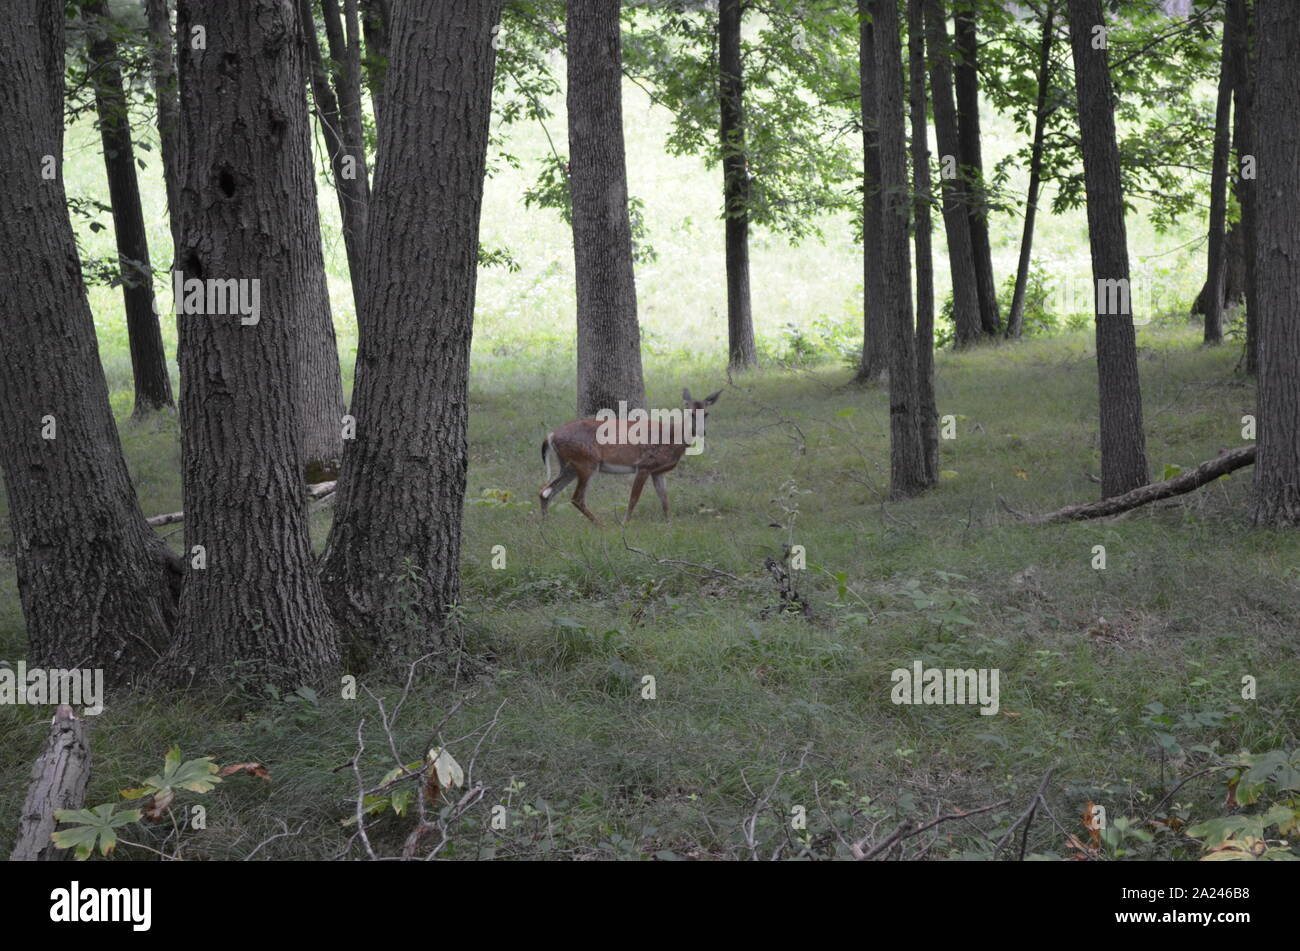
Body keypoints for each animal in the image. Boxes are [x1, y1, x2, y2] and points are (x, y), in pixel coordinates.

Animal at [539, 388, 722, 524]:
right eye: (689, 412)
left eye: (706, 414)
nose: (701, 431)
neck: (672, 439)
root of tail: (551, 435)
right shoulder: (644, 465)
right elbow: (634, 498)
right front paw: (625, 523)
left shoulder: (658, 471)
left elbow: (665, 500)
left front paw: (669, 523)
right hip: (586, 461)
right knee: (576, 498)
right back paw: (601, 524)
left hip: (569, 465)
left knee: (546, 491)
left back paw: (546, 525)